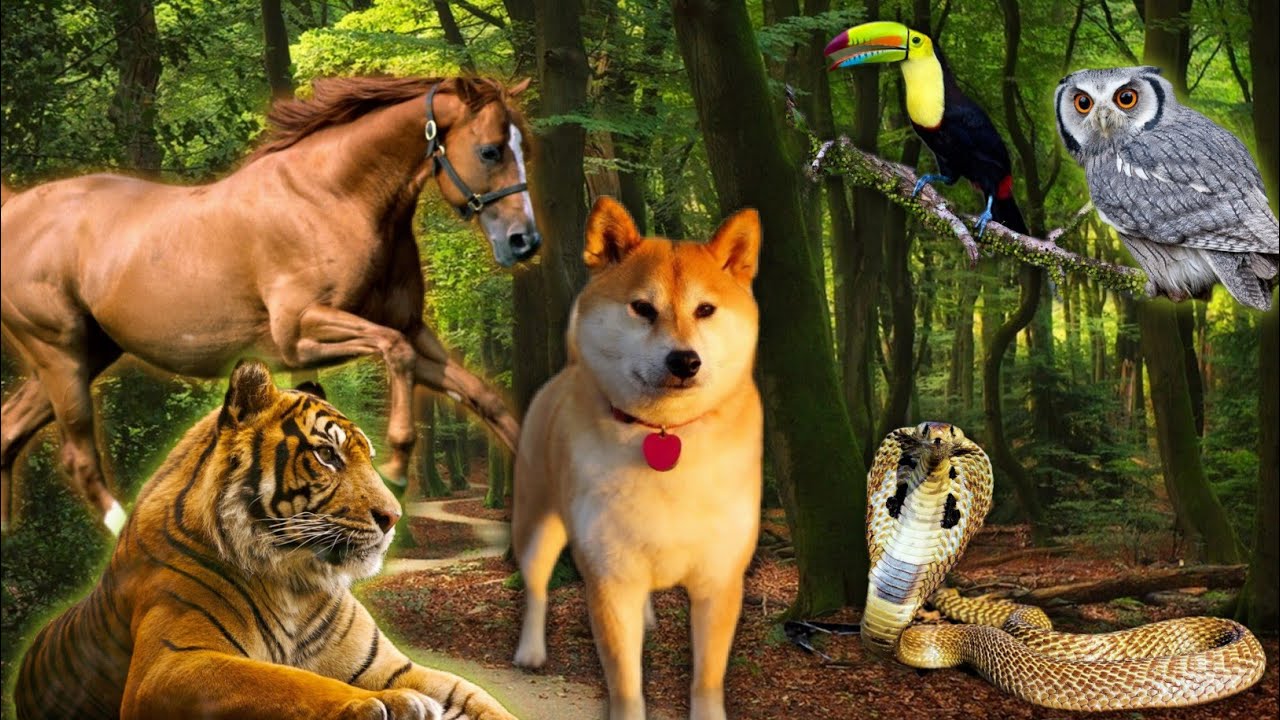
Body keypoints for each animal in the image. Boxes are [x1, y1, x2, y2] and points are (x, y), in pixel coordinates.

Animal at [15, 359, 516, 720]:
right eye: (327, 454)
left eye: (367, 457)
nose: (393, 517)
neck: (297, 583)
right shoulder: (168, 666)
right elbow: (289, 681)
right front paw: (387, 704)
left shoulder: (392, 666)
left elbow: (476, 696)